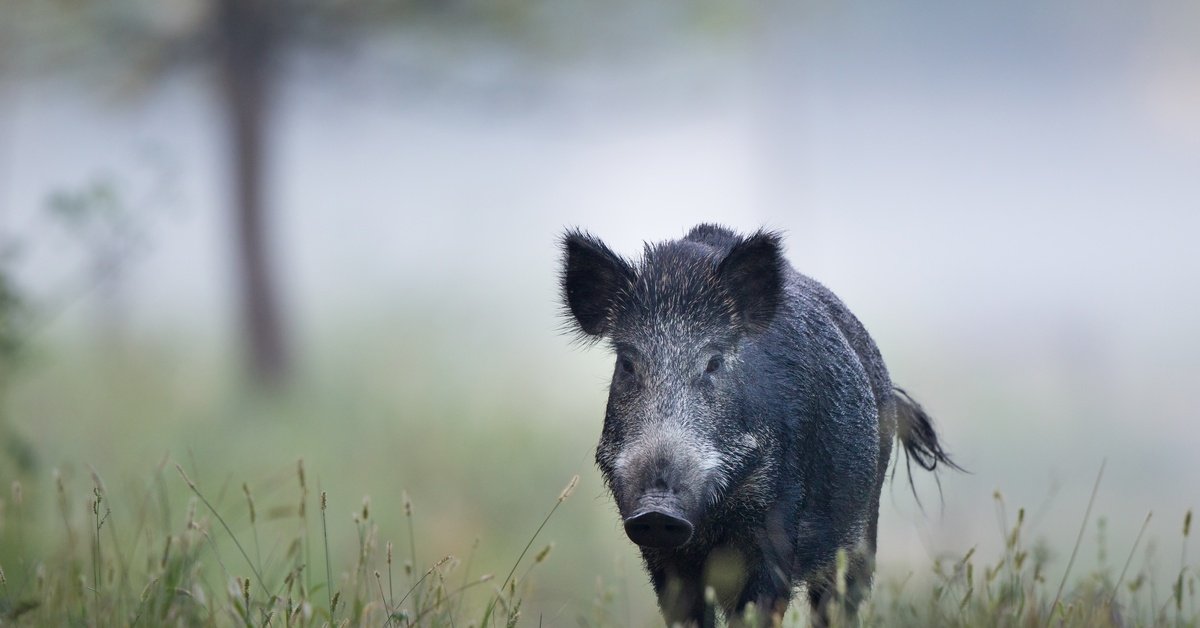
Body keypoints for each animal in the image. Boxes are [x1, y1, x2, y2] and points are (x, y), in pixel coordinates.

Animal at [559, 224, 959, 626]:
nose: (658, 509)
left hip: (860, 534)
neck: (712, 517)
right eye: (627, 363)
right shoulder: (661, 555)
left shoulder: (777, 521)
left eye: (713, 362)